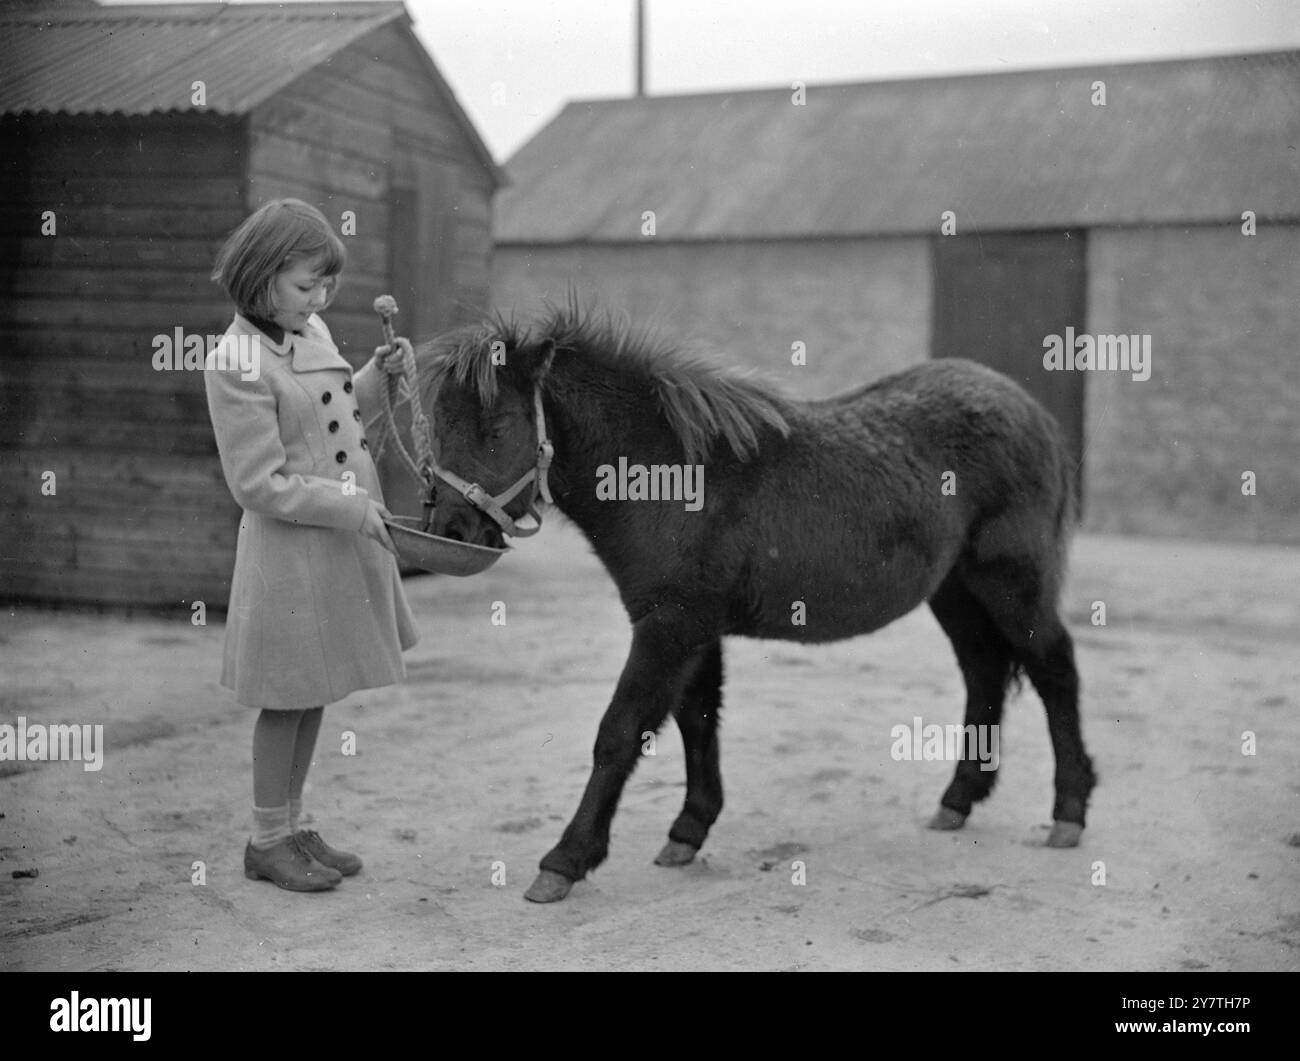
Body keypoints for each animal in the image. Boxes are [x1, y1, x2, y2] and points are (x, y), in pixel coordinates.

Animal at [403, 303, 1096, 903]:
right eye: (438, 424)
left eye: (498, 428)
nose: (451, 530)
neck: (673, 475)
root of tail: (1030, 410)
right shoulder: (691, 628)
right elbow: (696, 719)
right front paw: (687, 831)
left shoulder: (670, 627)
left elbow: (620, 732)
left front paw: (565, 861)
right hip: (956, 590)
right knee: (983, 671)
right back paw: (958, 800)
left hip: (1012, 582)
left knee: (1055, 670)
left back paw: (1068, 812)